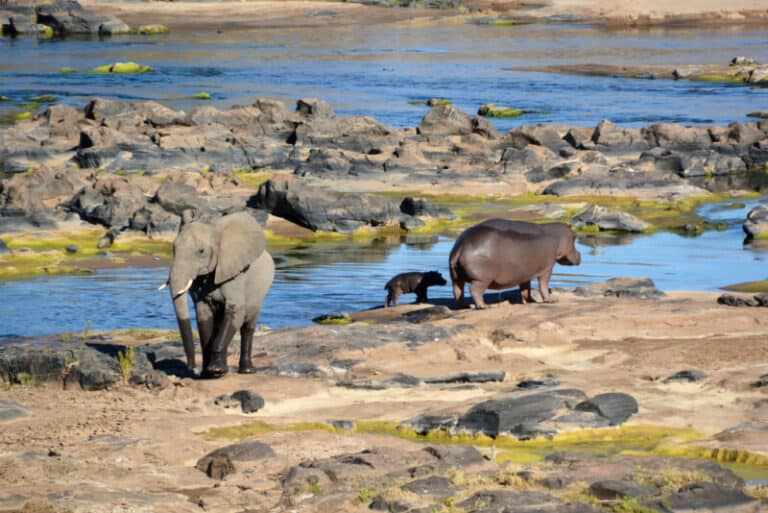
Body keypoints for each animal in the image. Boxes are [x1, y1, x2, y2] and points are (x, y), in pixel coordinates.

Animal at [162, 211, 274, 378]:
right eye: (173, 249)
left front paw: (215, 370)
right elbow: (204, 316)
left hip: (259, 292)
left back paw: (247, 371)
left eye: (201, 251)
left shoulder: (235, 275)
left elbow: (235, 312)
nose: (191, 368)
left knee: (247, 326)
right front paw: (208, 374)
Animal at [449, 219, 581, 309]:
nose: (579, 255)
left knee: (458, 290)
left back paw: (464, 306)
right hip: (481, 279)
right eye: (575, 237)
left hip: (456, 277)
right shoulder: (547, 268)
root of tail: (461, 246)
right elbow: (543, 285)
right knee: (474, 290)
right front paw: (551, 300)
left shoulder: (525, 274)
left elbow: (525, 288)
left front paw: (530, 301)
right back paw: (484, 306)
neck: (557, 236)